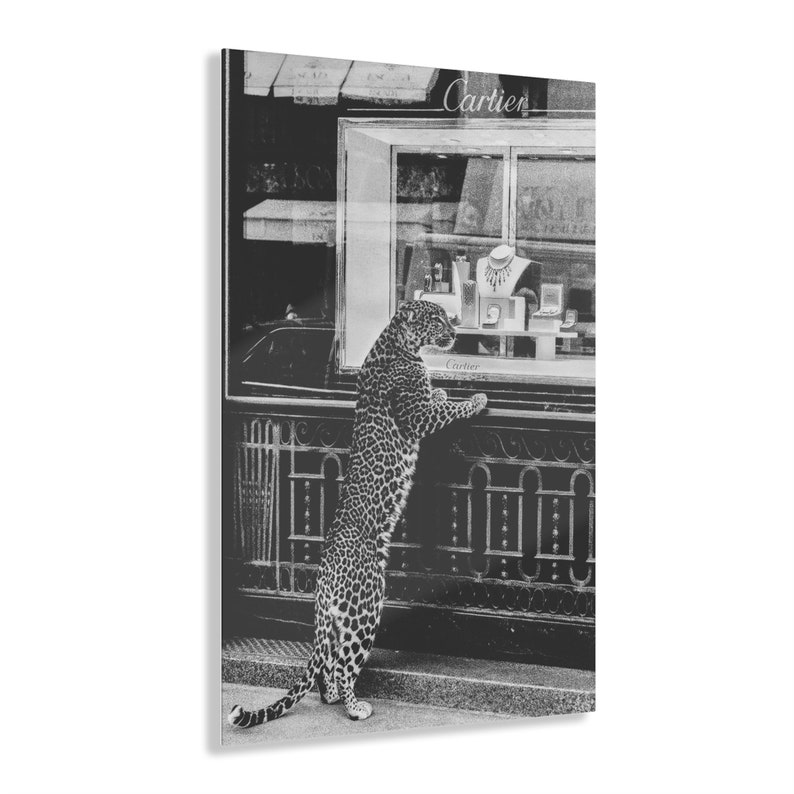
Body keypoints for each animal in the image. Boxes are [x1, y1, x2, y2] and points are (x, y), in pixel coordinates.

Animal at [228, 299, 487, 727]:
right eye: (437, 318)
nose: (455, 333)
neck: (398, 344)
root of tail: (323, 582)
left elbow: (436, 397)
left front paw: (443, 389)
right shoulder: (416, 416)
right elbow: (447, 409)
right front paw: (474, 399)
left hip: (337, 623)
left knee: (328, 668)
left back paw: (334, 696)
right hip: (364, 610)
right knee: (346, 666)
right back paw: (355, 707)